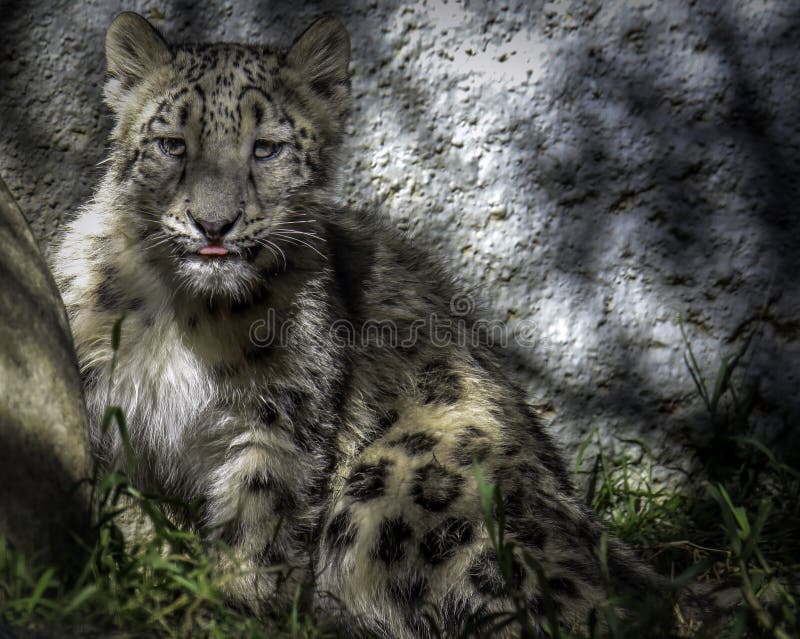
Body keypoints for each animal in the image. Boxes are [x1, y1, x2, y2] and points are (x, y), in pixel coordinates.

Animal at [51, 11, 666, 637]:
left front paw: (235, 605)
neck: (187, 318)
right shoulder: (104, 405)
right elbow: (129, 512)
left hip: (403, 478)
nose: (213, 224)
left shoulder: (280, 416)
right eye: (171, 144)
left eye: (266, 148)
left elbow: (259, 518)